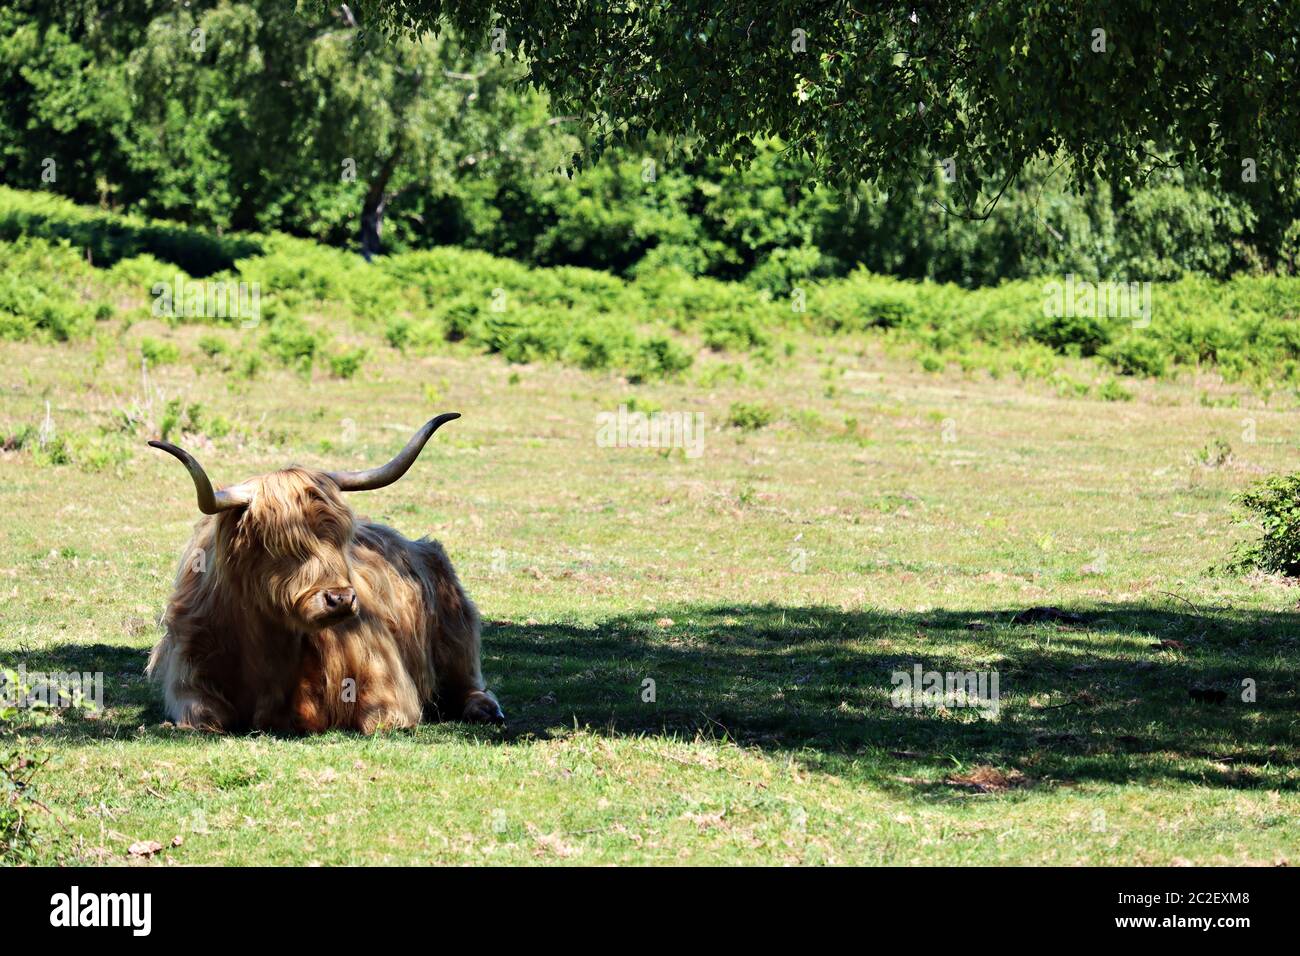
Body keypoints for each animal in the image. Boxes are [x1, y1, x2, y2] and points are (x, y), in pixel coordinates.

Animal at [145, 412, 504, 734]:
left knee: (468, 680)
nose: (340, 598)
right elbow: (203, 717)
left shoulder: (387, 685)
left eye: (340, 538)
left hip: (456, 631)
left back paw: (485, 709)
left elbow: (380, 720)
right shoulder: (189, 675)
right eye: (277, 543)